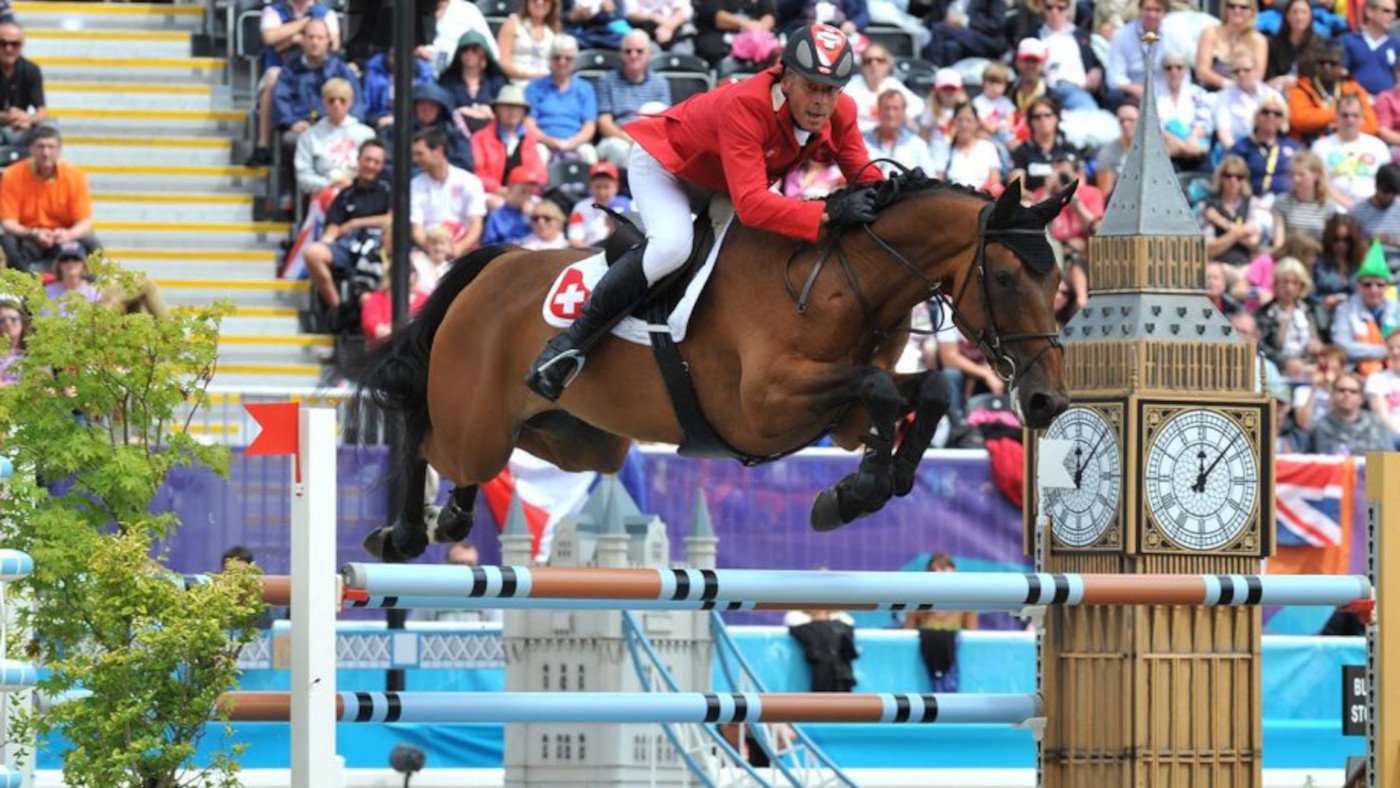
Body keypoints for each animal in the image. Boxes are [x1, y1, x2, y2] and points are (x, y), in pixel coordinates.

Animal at [359, 171, 1075, 562]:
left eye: (1058, 279)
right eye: (1005, 277)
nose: (1047, 402)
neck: (843, 278)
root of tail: (494, 266)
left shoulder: (837, 418)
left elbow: (921, 391)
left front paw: (864, 488)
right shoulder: (764, 407)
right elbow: (882, 389)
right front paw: (858, 491)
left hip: (582, 443)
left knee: (499, 454)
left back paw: (451, 517)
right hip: (475, 419)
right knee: (424, 434)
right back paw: (403, 533)